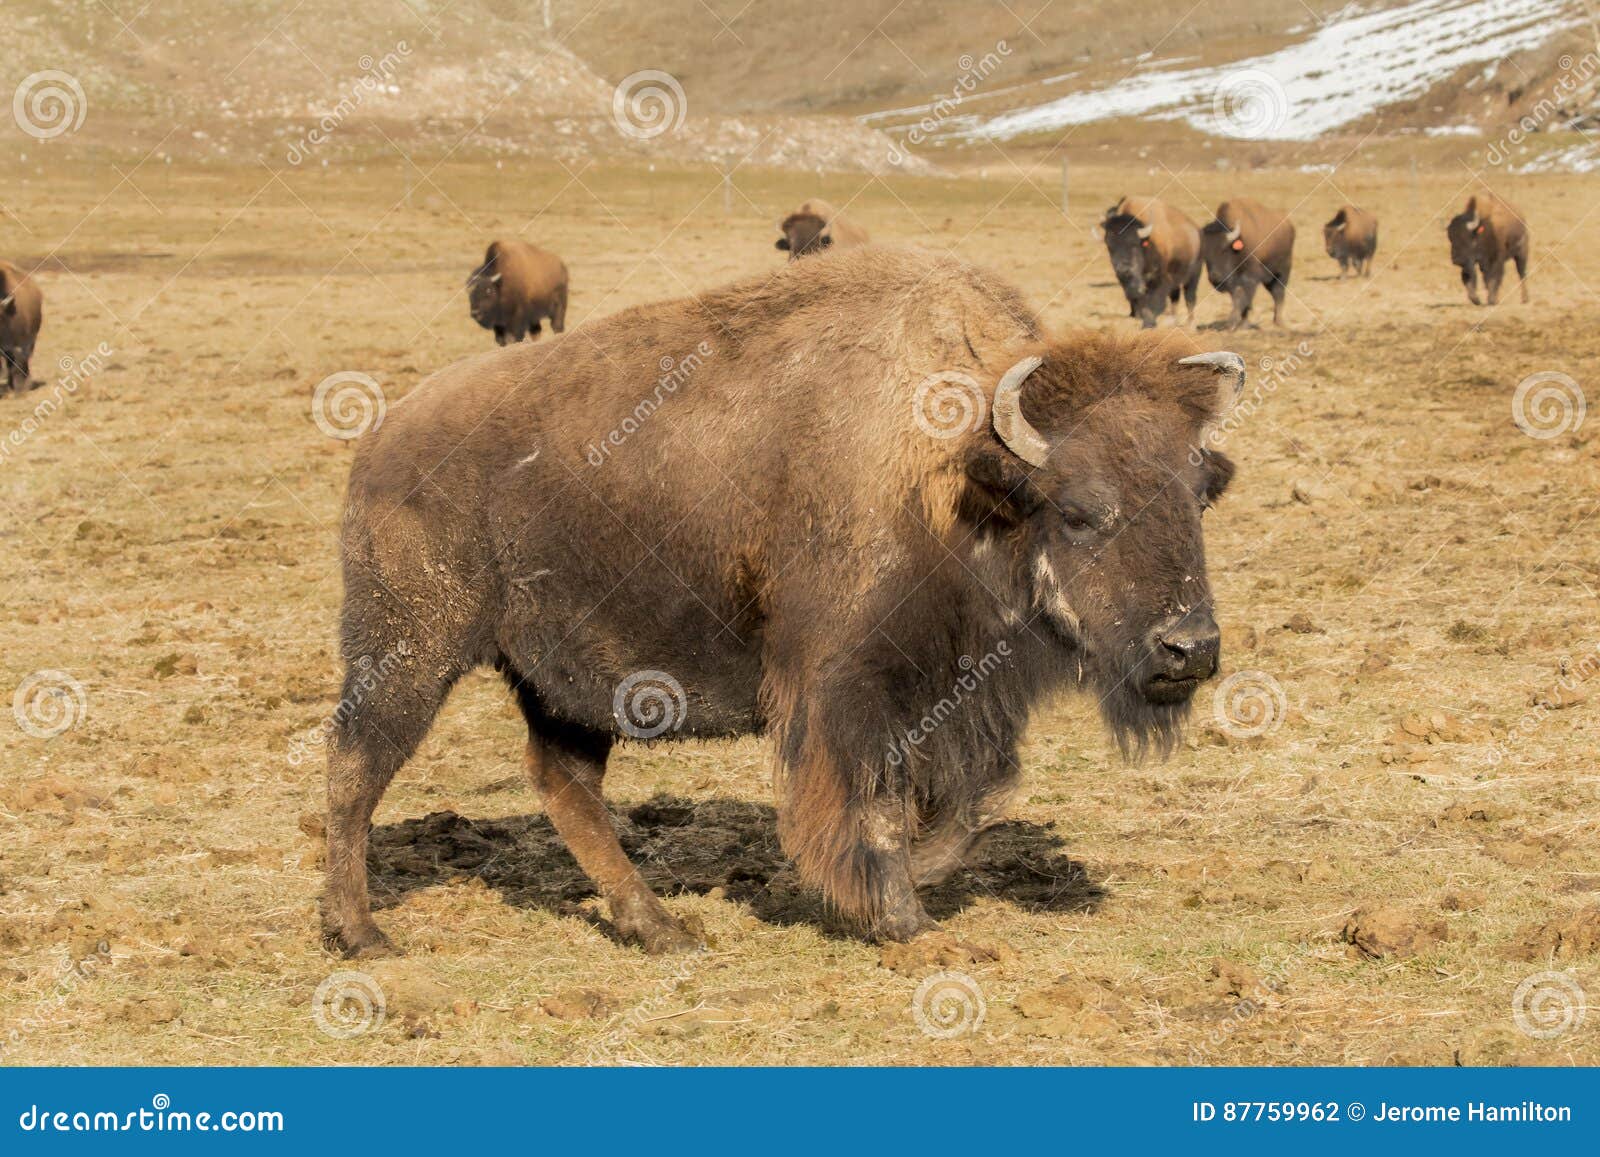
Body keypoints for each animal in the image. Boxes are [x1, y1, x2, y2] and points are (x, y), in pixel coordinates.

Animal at [322, 247, 1241, 958]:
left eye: (1199, 495)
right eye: (1079, 508)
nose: (1190, 647)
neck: (956, 472)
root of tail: (382, 438)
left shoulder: (959, 694)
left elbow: (980, 799)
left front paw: (893, 882)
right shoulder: (847, 688)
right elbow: (877, 806)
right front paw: (901, 919)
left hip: (565, 686)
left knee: (564, 785)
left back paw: (661, 929)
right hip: (413, 651)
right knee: (356, 764)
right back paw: (361, 934)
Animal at [1099, 195, 1203, 328]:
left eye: (1134, 244)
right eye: (1109, 247)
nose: (1122, 269)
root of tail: (1196, 229)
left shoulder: (1160, 279)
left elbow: (1154, 300)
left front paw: (1148, 323)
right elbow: (1138, 299)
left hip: (1194, 275)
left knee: (1190, 298)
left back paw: (1191, 325)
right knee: (1175, 299)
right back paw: (1174, 322)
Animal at [1200, 198, 1295, 329]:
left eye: (1224, 249)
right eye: (1205, 254)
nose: (1215, 277)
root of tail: (1289, 224)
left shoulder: (1250, 278)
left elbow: (1244, 299)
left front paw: (1235, 323)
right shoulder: (1233, 283)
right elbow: (1237, 297)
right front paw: (1239, 323)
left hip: (1282, 272)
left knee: (1278, 293)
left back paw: (1279, 322)